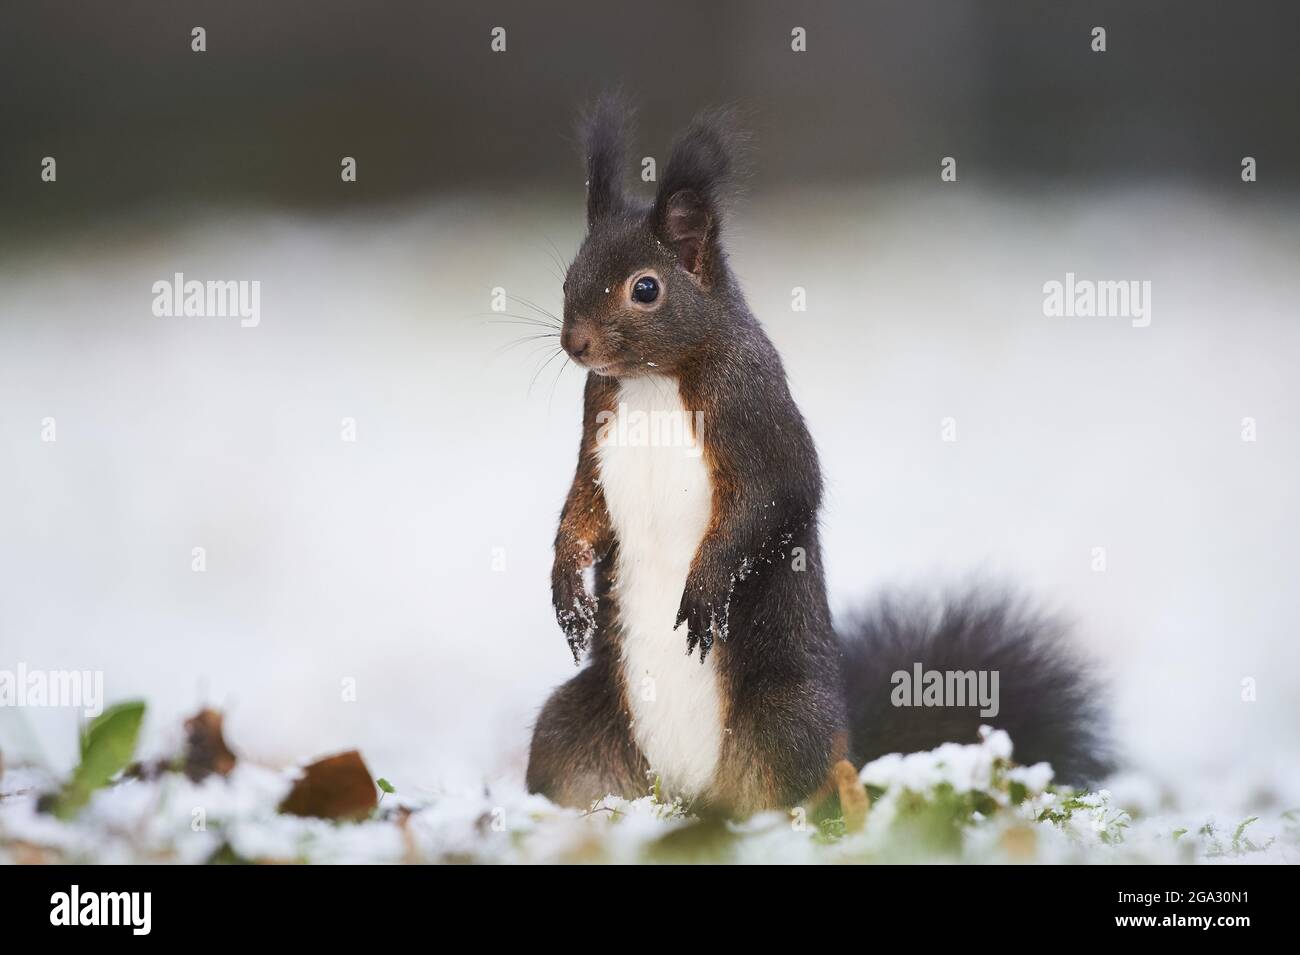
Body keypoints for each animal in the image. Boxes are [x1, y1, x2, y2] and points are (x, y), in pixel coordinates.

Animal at [526, 96, 1114, 817]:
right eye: (569, 277)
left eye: (645, 288)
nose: (574, 342)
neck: (655, 379)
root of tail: (691, 793)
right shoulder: (597, 430)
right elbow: (583, 504)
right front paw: (566, 583)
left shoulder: (756, 414)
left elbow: (772, 498)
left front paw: (707, 582)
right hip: (576, 726)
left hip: (789, 720)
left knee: (807, 783)